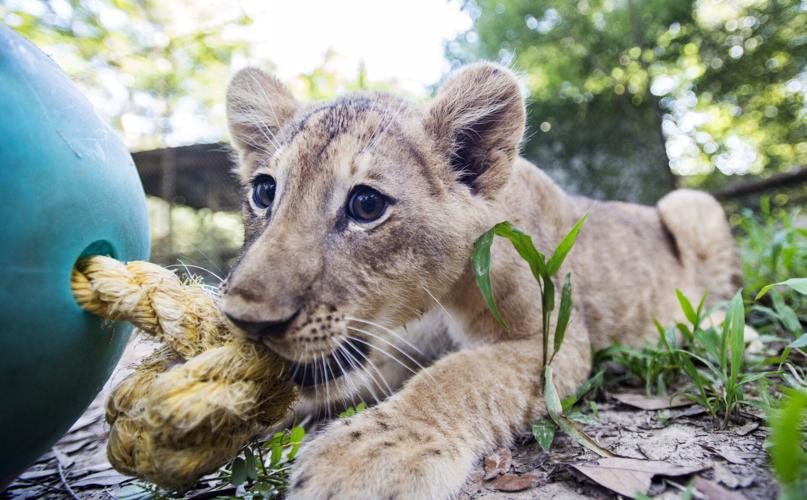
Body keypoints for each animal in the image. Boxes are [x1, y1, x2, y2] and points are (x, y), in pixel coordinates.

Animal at [219, 62, 740, 499]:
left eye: (366, 205)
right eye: (264, 191)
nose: (247, 320)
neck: (425, 305)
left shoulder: (552, 341)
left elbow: (457, 377)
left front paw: (367, 457)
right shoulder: (393, 351)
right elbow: (328, 386)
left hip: (690, 205)